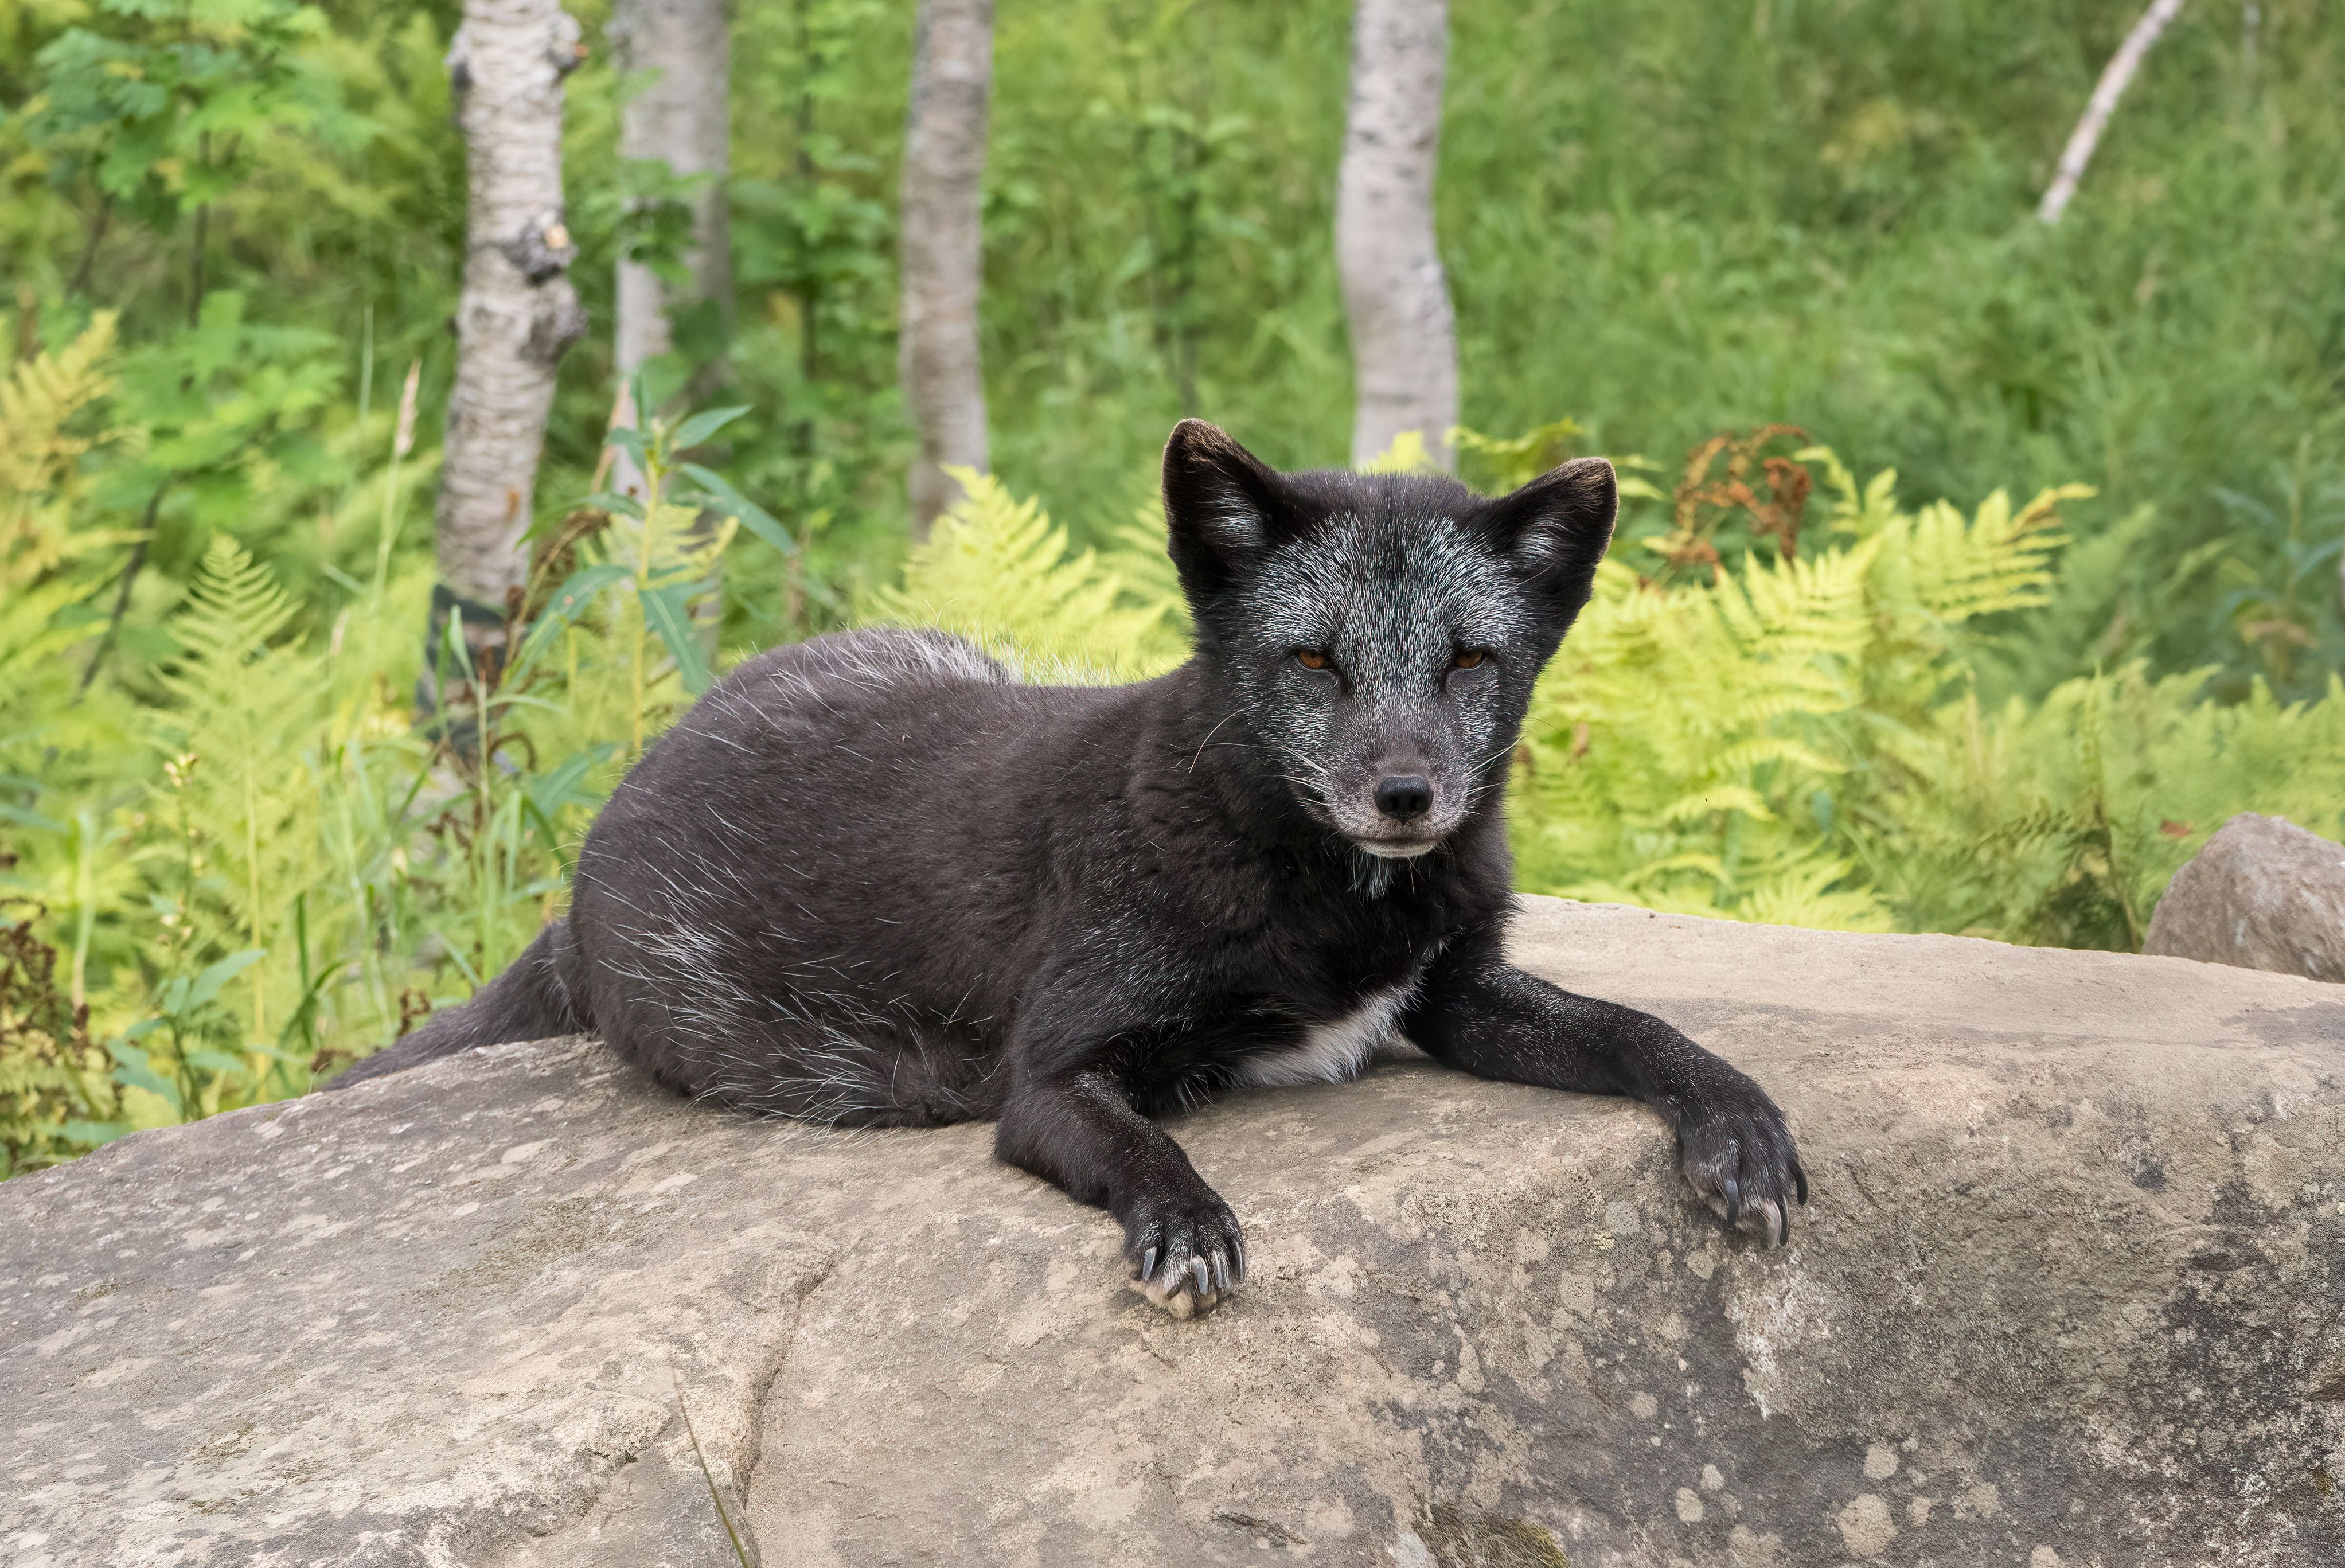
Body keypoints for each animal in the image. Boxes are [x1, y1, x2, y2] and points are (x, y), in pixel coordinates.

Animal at [331, 419, 1807, 1315]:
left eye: (1467, 660)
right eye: (1313, 659)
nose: (1405, 795)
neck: (1327, 906)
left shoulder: (1450, 992)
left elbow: (1634, 1023)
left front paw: (1738, 1119)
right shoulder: (1048, 1072)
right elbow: (1142, 1143)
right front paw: (1186, 1220)